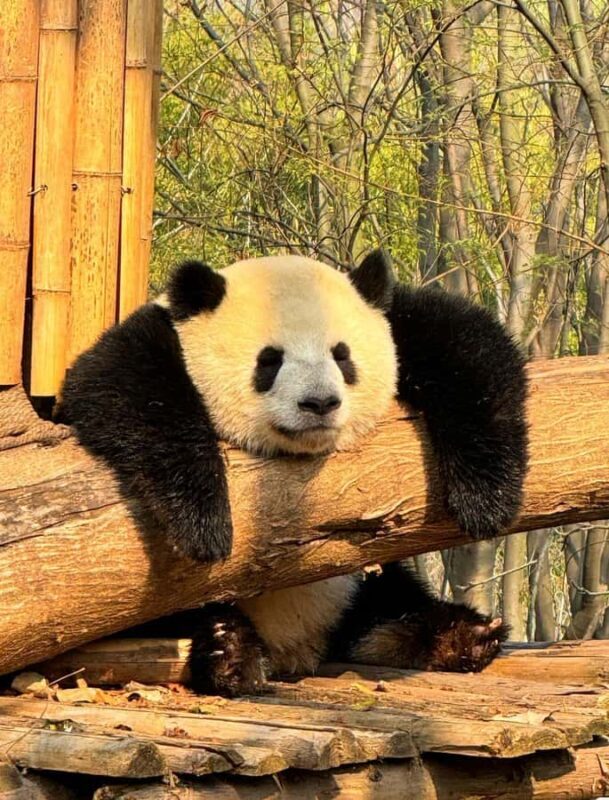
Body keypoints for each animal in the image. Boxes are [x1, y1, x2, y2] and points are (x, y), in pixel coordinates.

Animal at [58, 250, 527, 697]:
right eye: (269, 361)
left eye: (342, 355)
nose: (319, 403)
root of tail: (298, 645)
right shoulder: (150, 343)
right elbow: (118, 388)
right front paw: (202, 524)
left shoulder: (402, 322)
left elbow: (464, 342)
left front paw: (486, 501)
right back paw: (230, 653)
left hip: (353, 585)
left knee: (387, 603)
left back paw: (461, 635)